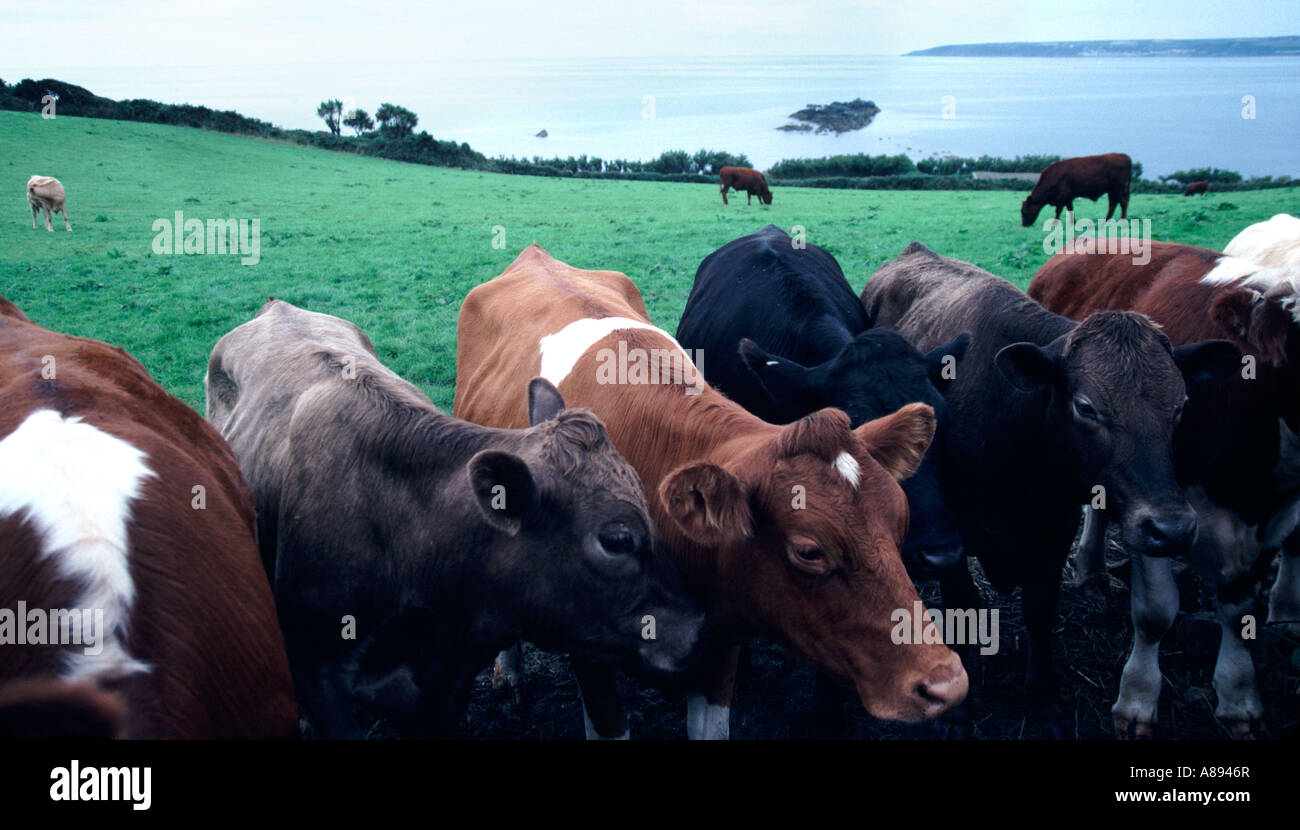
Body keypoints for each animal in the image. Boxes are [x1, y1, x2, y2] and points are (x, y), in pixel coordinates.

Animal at [861, 242, 1238, 727]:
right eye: (1086, 406)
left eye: (1180, 406)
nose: (1170, 528)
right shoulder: (952, 535)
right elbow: (962, 599)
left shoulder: (1055, 529)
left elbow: (1040, 609)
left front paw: (1041, 691)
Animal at [1030, 240, 1300, 737]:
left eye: (1182, 407)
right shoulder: (1156, 515)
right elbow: (1154, 612)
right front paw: (1136, 701)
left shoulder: (1274, 515)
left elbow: (1240, 610)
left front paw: (1238, 698)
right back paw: (1090, 568)